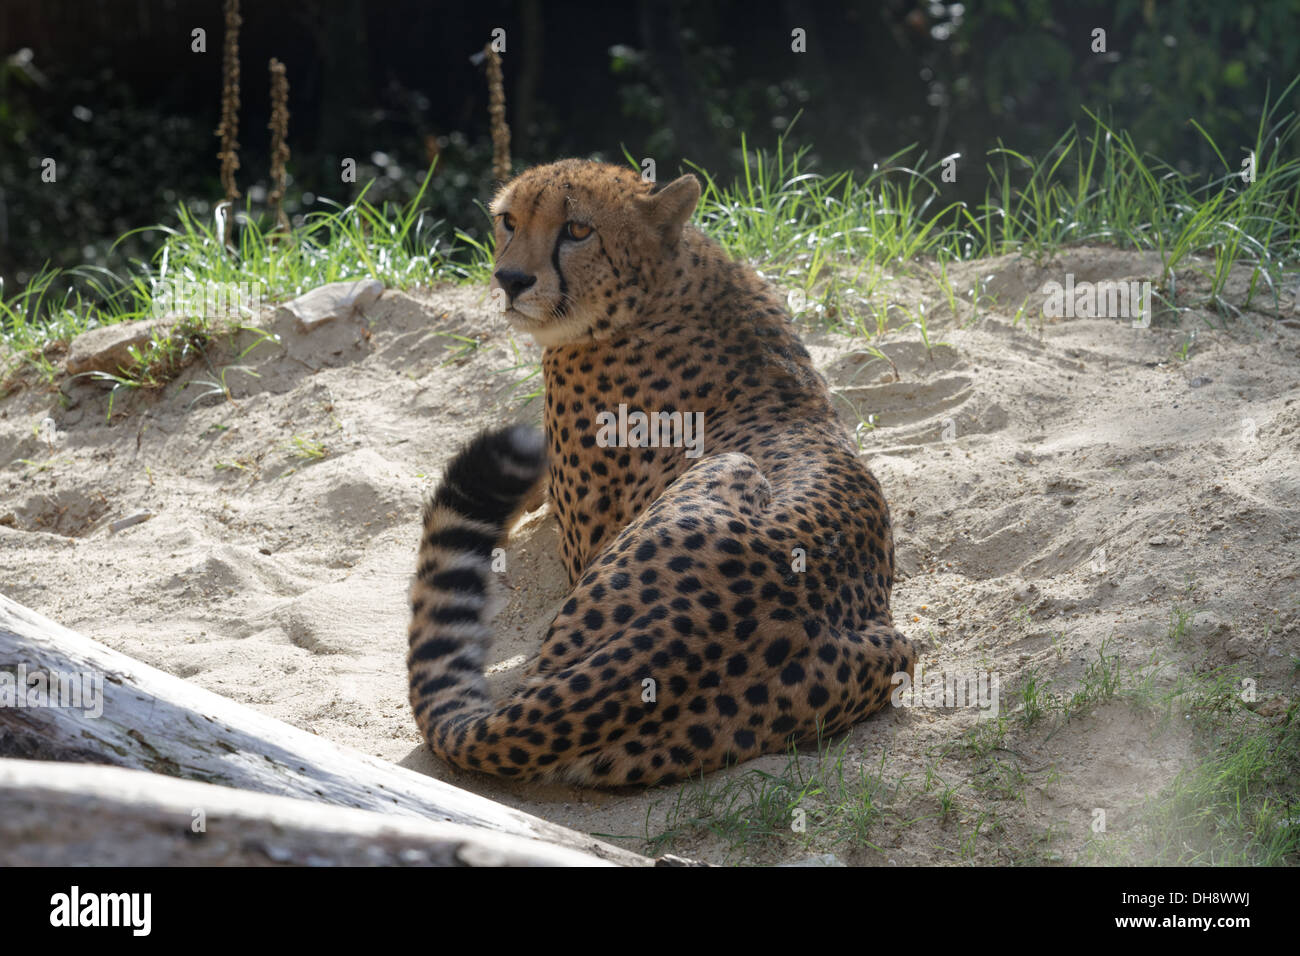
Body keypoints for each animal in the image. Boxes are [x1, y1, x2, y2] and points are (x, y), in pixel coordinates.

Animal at [407, 158, 916, 787]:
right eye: (508, 220)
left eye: (577, 230)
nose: (510, 279)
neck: (669, 278)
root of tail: (668, 640)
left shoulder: (582, 541)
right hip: (900, 649)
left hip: (729, 466)